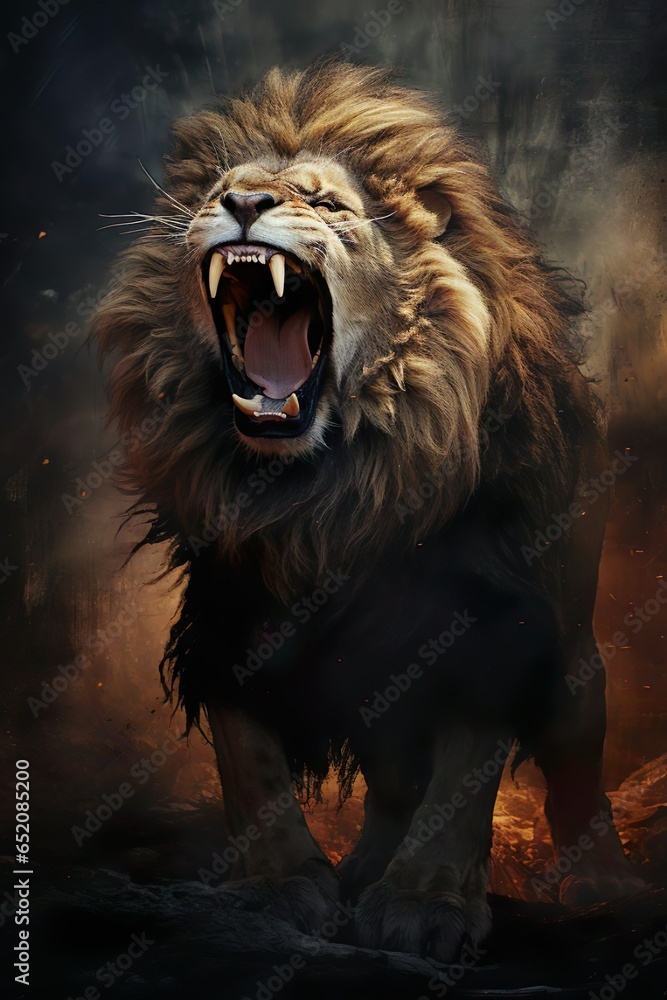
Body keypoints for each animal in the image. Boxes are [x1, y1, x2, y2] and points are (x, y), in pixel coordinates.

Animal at [94, 62, 643, 961]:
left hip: (572, 650)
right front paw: (278, 886)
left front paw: (426, 901)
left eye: (327, 205)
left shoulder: (489, 617)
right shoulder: (226, 613)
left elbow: (461, 781)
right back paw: (360, 868)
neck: (331, 494)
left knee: (570, 764)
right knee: (391, 780)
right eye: (215, 190)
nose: (243, 203)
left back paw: (604, 885)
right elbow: (253, 766)